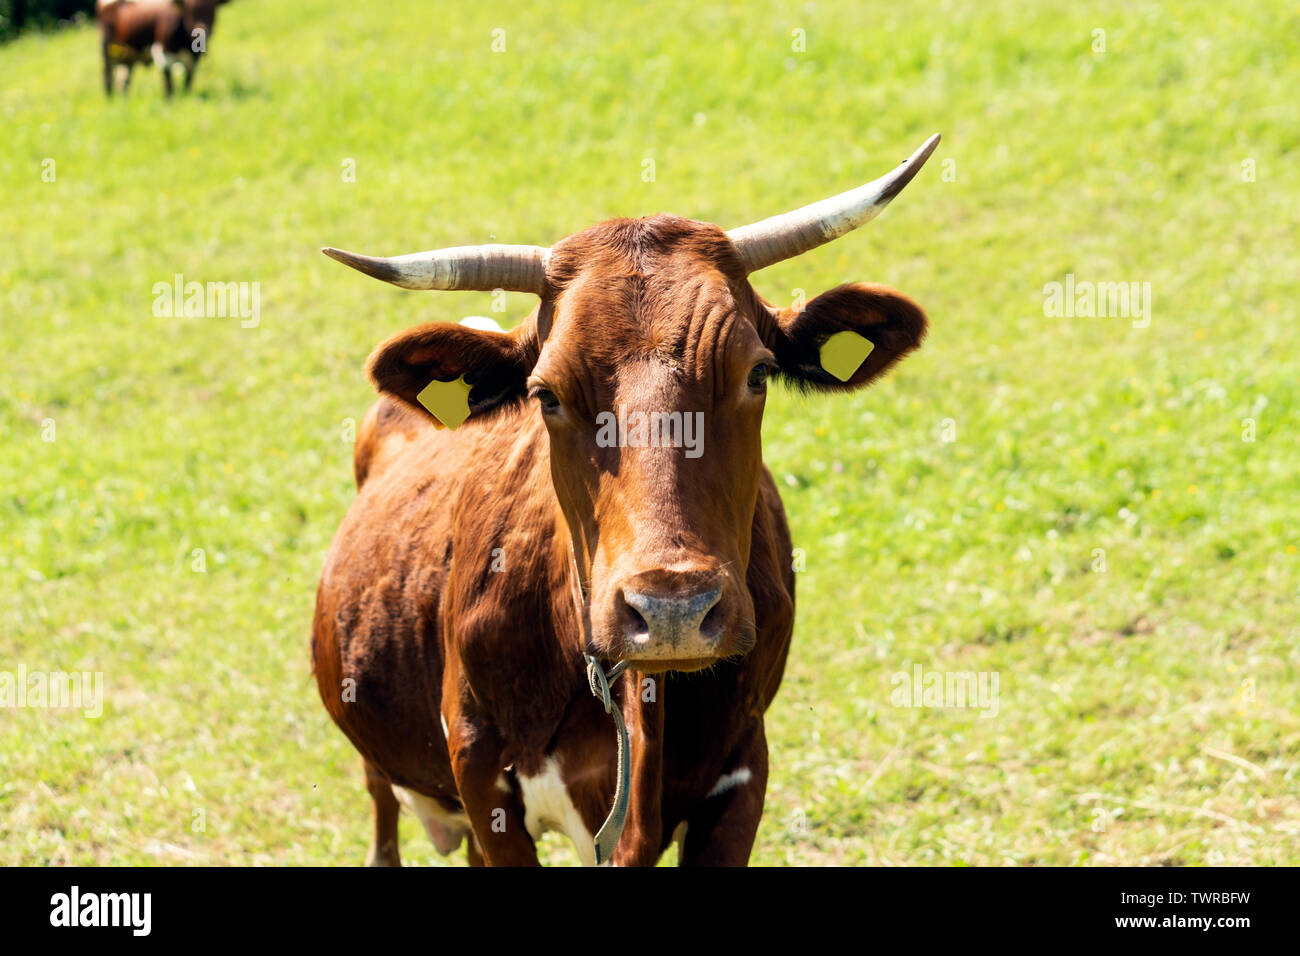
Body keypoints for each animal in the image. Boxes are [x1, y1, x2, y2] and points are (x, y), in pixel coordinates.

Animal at [97, 0, 229, 97]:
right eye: (191, 10)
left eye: (213, 10)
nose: (204, 30)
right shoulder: (164, 54)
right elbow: (169, 85)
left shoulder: (193, 61)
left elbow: (187, 83)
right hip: (107, 48)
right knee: (108, 75)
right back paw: (110, 99)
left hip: (128, 54)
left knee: (124, 80)